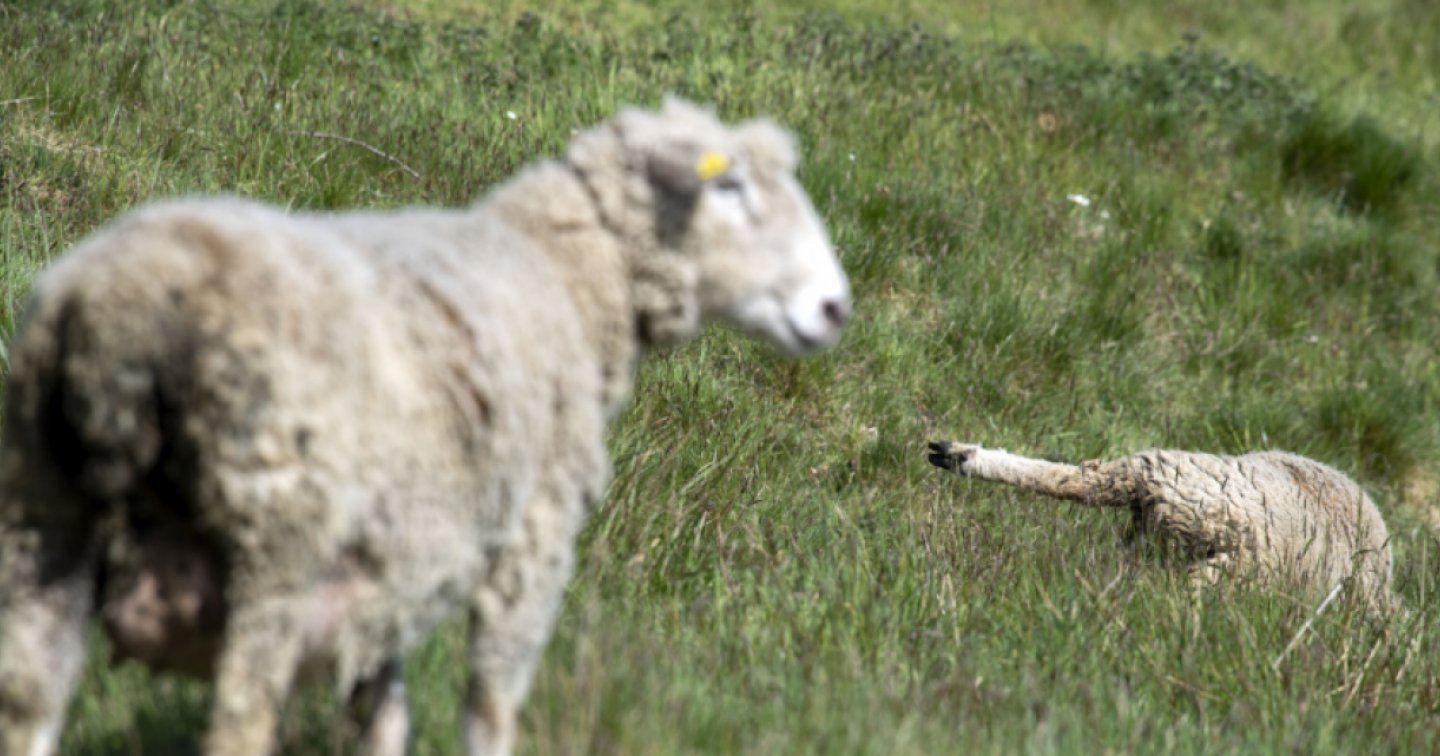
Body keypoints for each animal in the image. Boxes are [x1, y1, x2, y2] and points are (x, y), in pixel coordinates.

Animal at [0, 96, 850, 756]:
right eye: (731, 185)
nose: (836, 307)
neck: (566, 275)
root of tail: (124, 311)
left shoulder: (389, 563)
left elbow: (380, 708)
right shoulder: (533, 540)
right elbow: (491, 704)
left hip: (47, 519)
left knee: (30, 704)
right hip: (275, 541)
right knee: (239, 725)